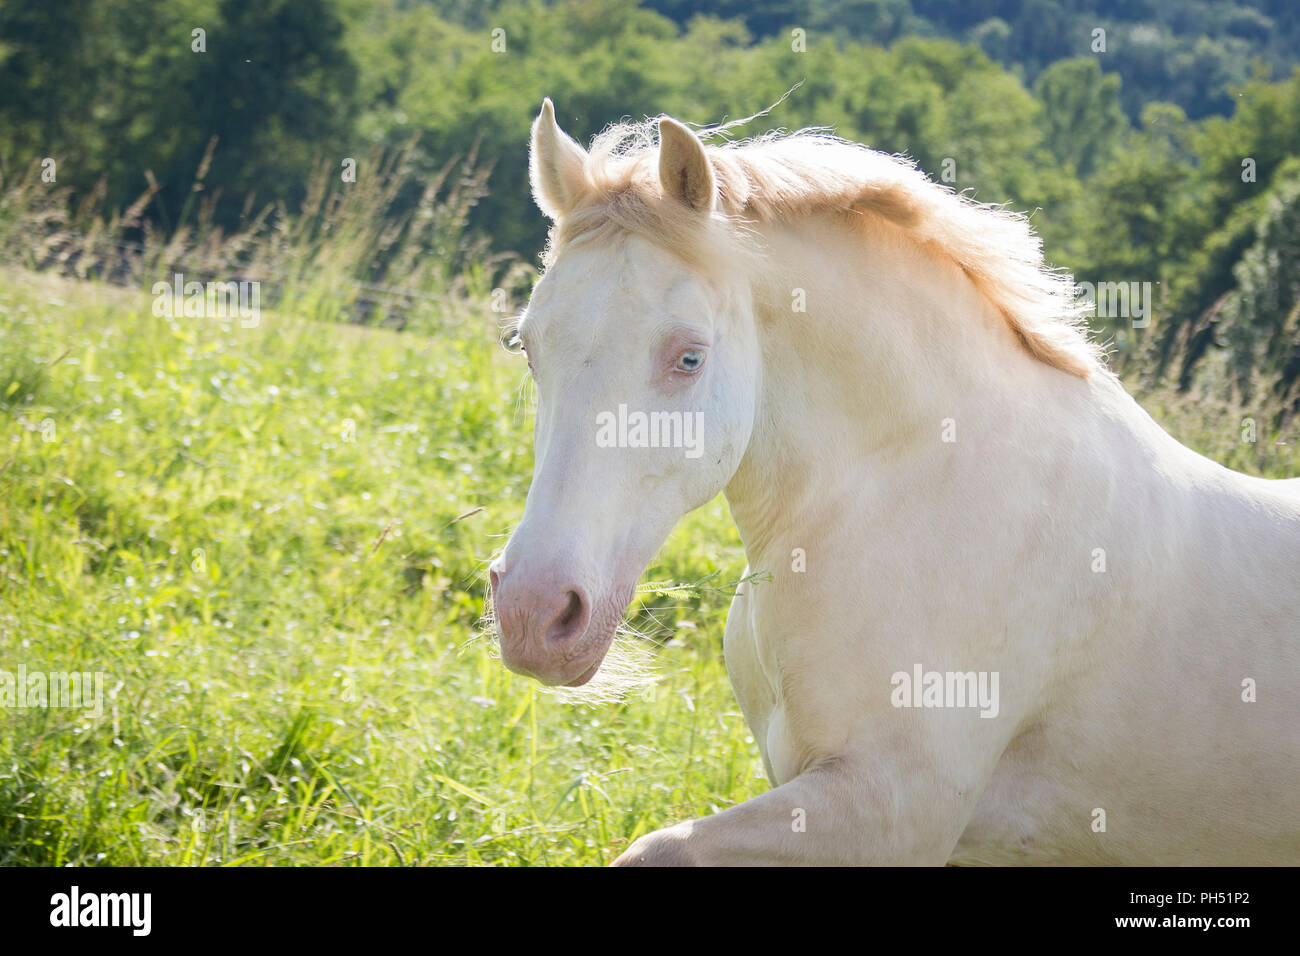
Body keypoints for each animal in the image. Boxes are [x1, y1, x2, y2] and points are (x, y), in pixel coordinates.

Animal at [488, 98, 1300, 865]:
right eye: (527, 345)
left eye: (689, 357)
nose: (532, 612)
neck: (920, 491)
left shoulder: (887, 812)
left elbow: (658, 848)